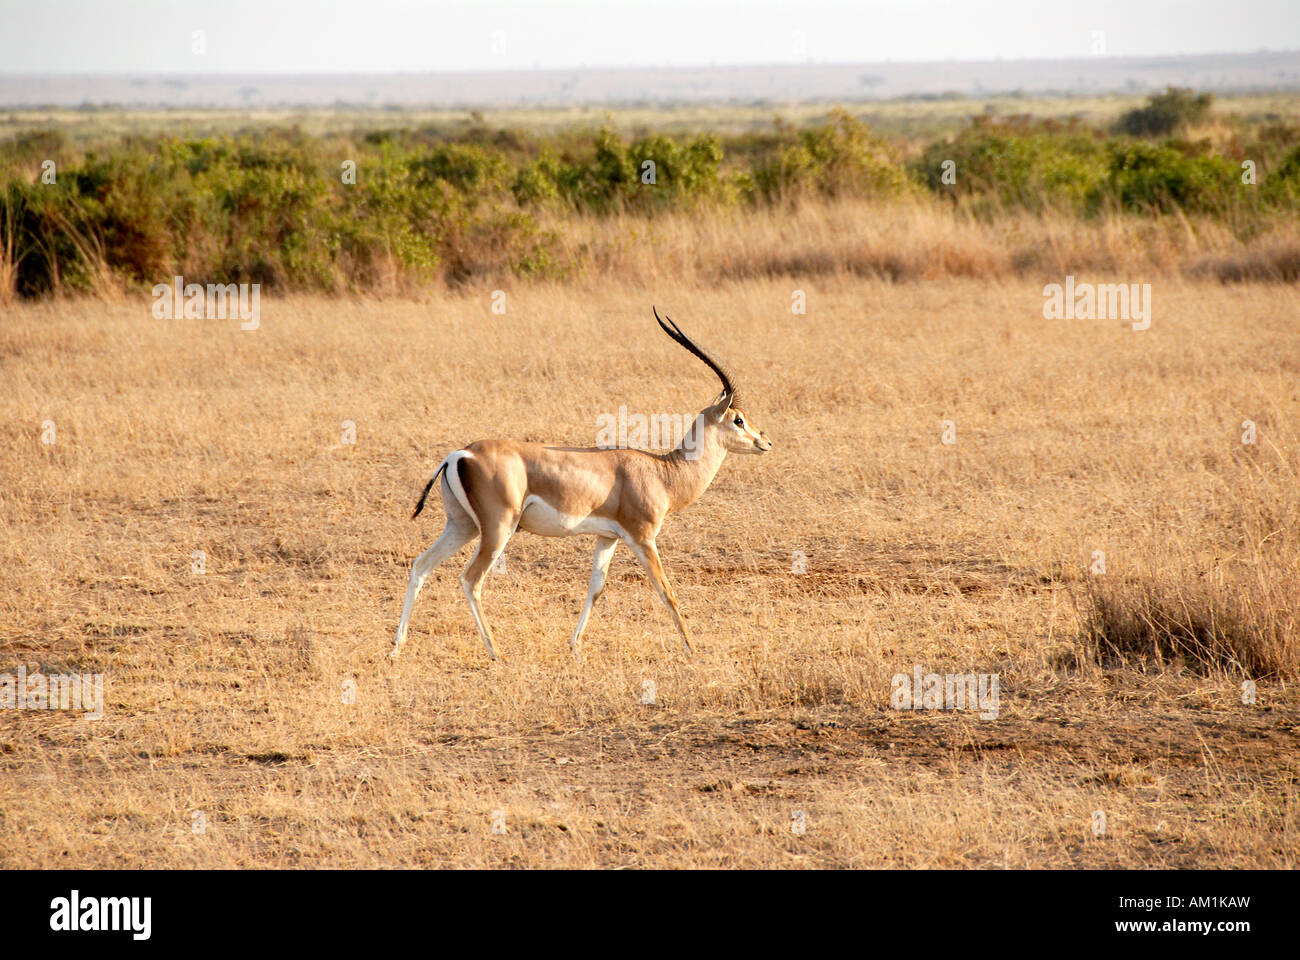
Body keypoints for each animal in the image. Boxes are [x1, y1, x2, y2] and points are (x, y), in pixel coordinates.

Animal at [391, 309, 771, 662]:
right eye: (738, 419)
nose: (765, 442)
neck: (662, 472)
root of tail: (459, 454)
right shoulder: (642, 537)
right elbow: (666, 590)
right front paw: (693, 650)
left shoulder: (607, 537)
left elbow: (596, 588)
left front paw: (574, 646)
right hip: (498, 530)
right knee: (471, 579)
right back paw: (496, 652)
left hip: (462, 526)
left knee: (421, 565)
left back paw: (396, 648)